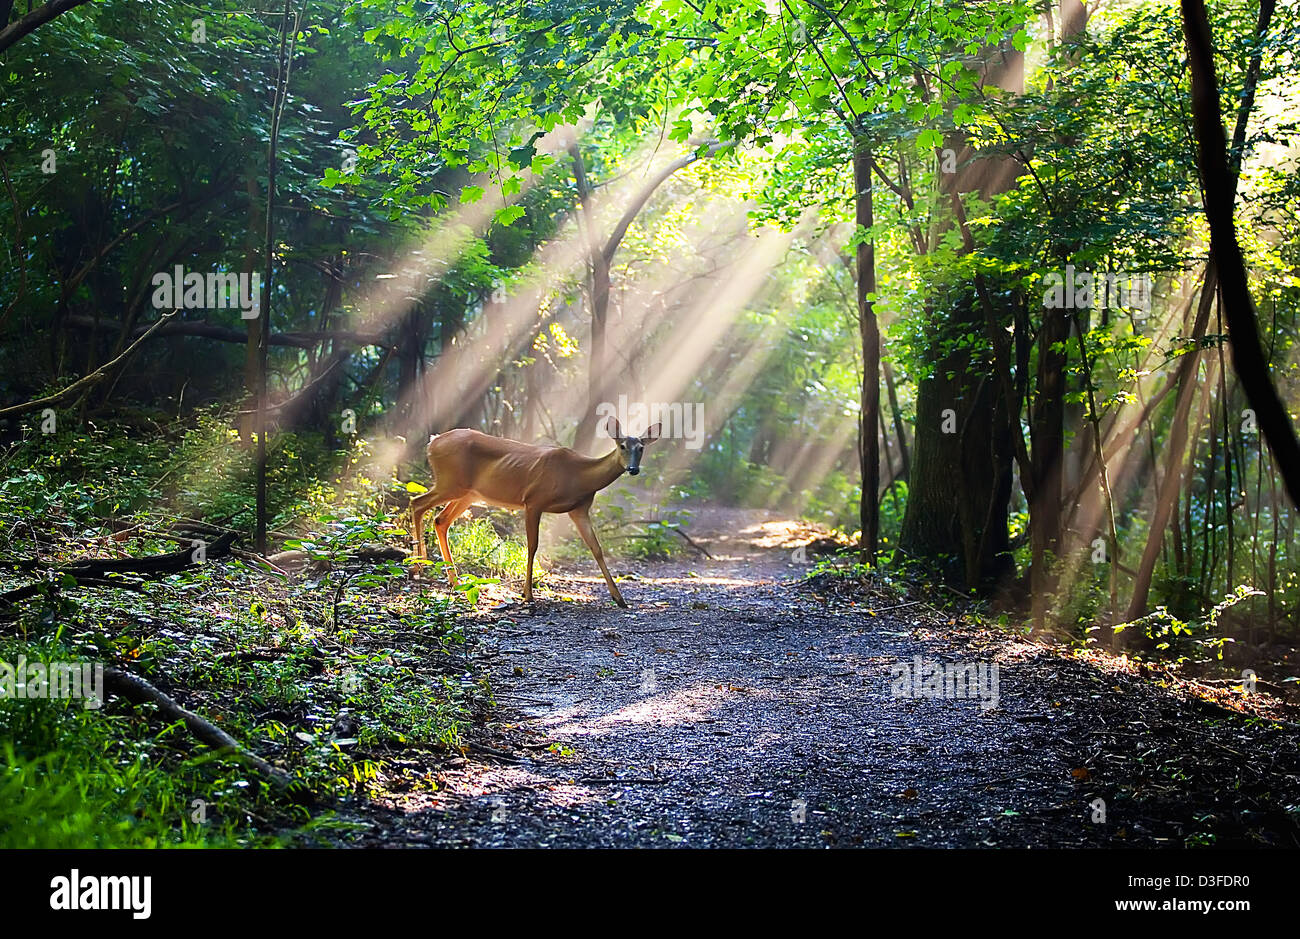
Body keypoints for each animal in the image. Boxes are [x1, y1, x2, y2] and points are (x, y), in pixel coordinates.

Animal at [409, 417, 660, 608]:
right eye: (622, 446)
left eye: (641, 448)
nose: (633, 469)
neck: (578, 477)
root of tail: (433, 443)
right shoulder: (534, 500)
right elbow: (532, 546)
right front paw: (527, 595)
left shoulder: (579, 509)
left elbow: (596, 548)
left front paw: (619, 598)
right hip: (450, 483)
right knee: (417, 502)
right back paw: (417, 567)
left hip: (468, 493)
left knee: (440, 520)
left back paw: (454, 580)